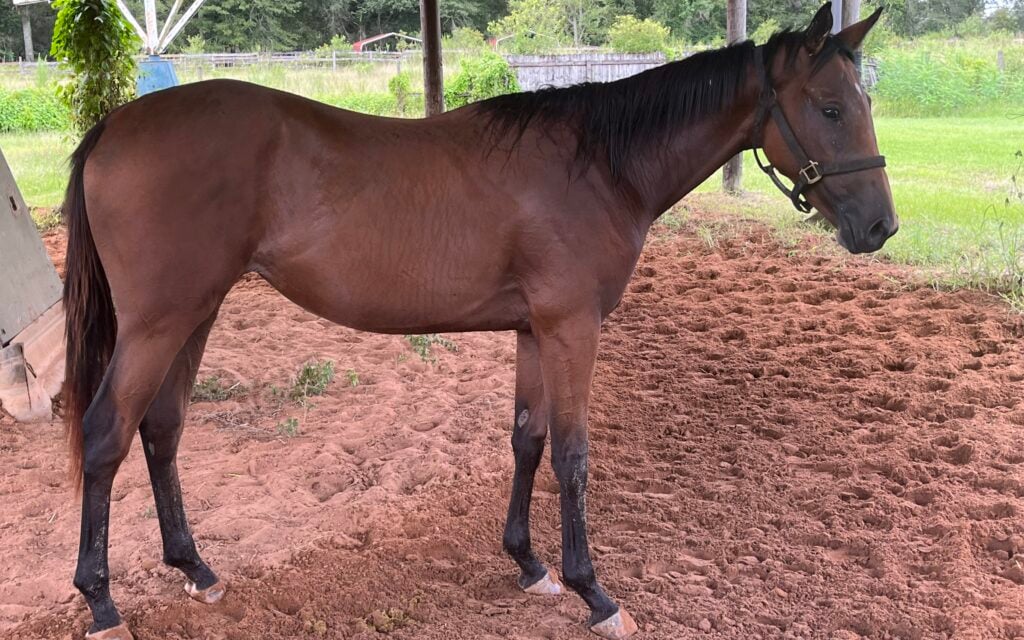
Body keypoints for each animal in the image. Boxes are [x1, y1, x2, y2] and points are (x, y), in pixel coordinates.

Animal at [61, 4, 895, 639]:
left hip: (195, 314)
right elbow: (572, 456)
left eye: (864, 104)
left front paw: (528, 564)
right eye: (829, 108)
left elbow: (527, 441)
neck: (599, 165)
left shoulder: (534, 330)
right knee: (106, 436)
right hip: (158, 323)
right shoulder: (572, 328)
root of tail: (115, 125)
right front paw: (595, 592)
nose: (880, 227)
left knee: (161, 429)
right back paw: (101, 603)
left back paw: (196, 569)